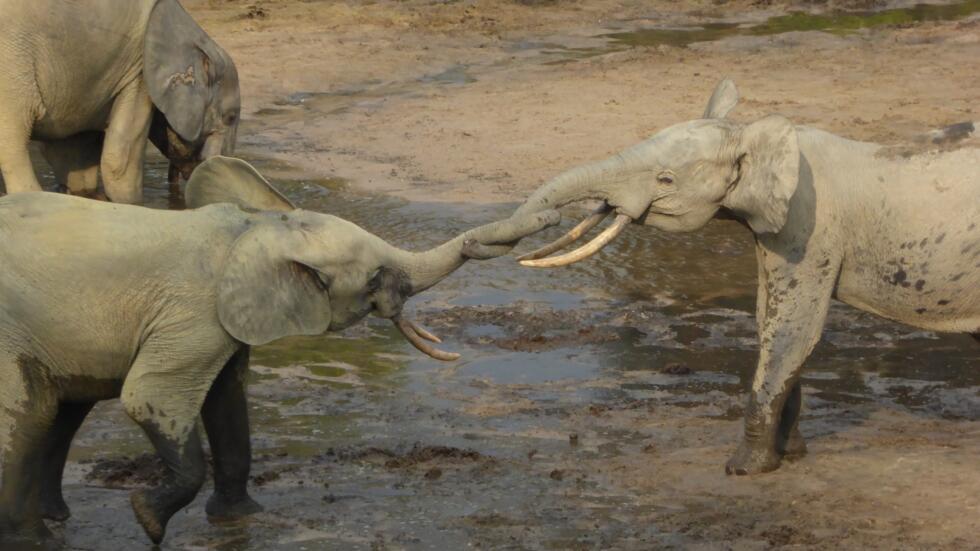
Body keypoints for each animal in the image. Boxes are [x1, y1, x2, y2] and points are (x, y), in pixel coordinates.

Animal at [0, 157, 559, 545]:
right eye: (374, 279)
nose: (549, 217)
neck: (255, 227)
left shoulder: (223, 320)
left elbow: (228, 402)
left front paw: (244, 520)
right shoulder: (193, 312)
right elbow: (148, 396)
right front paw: (149, 522)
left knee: (61, 411)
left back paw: (54, 520)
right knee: (30, 414)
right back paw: (36, 538)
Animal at [509, 79, 979, 475]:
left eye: (666, 179)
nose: (546, 222)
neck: (753, 134)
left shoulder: (810, 229)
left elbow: (792, 330)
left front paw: (744, 469)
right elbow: (767, 319)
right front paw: (789, 455)